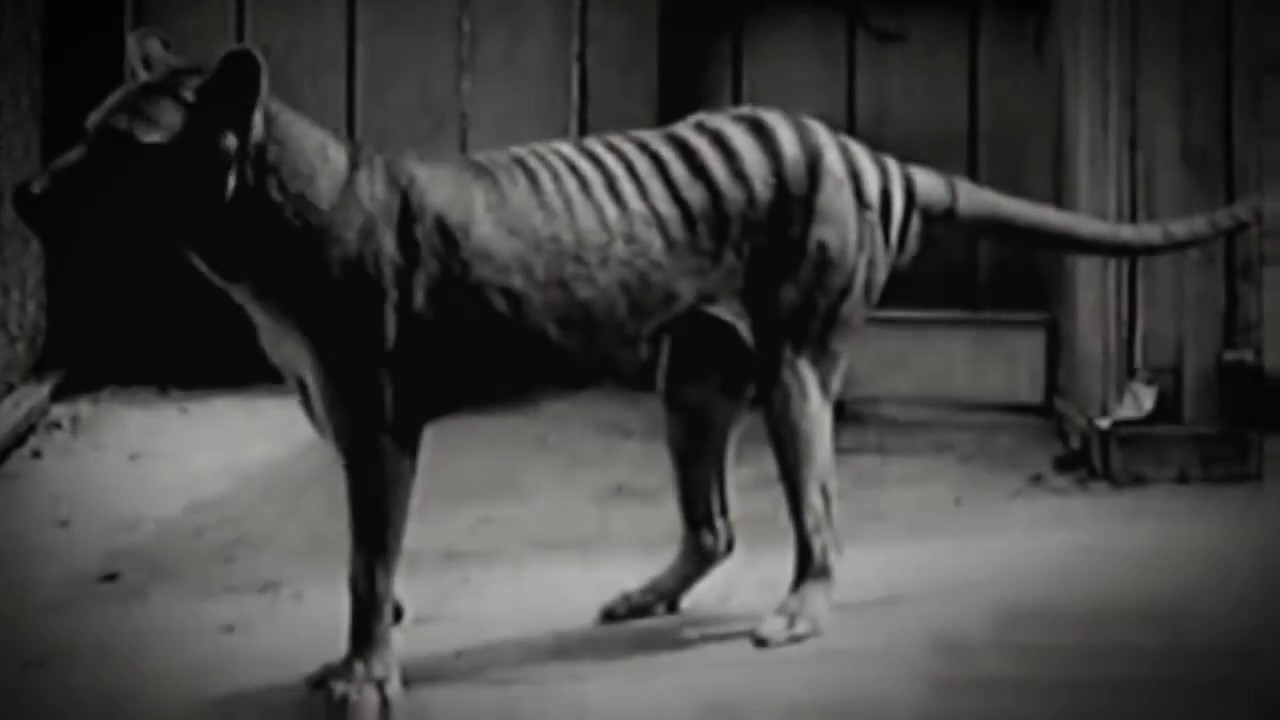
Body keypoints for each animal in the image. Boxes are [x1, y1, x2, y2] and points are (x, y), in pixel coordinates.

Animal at [12, 29, 1264, 713]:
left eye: (123, 147)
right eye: (82, 125)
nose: (23, 193)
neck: (270, 218)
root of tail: (856, 150)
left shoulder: (375, 425)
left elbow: (366, 565)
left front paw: (369, 671)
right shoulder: (337, 422)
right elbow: (376, 561)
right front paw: (374, 645)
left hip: (793, 367)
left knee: (817, 518)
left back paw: (800, 611)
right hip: (694, 380)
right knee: (711, 523)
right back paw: (650, 591)